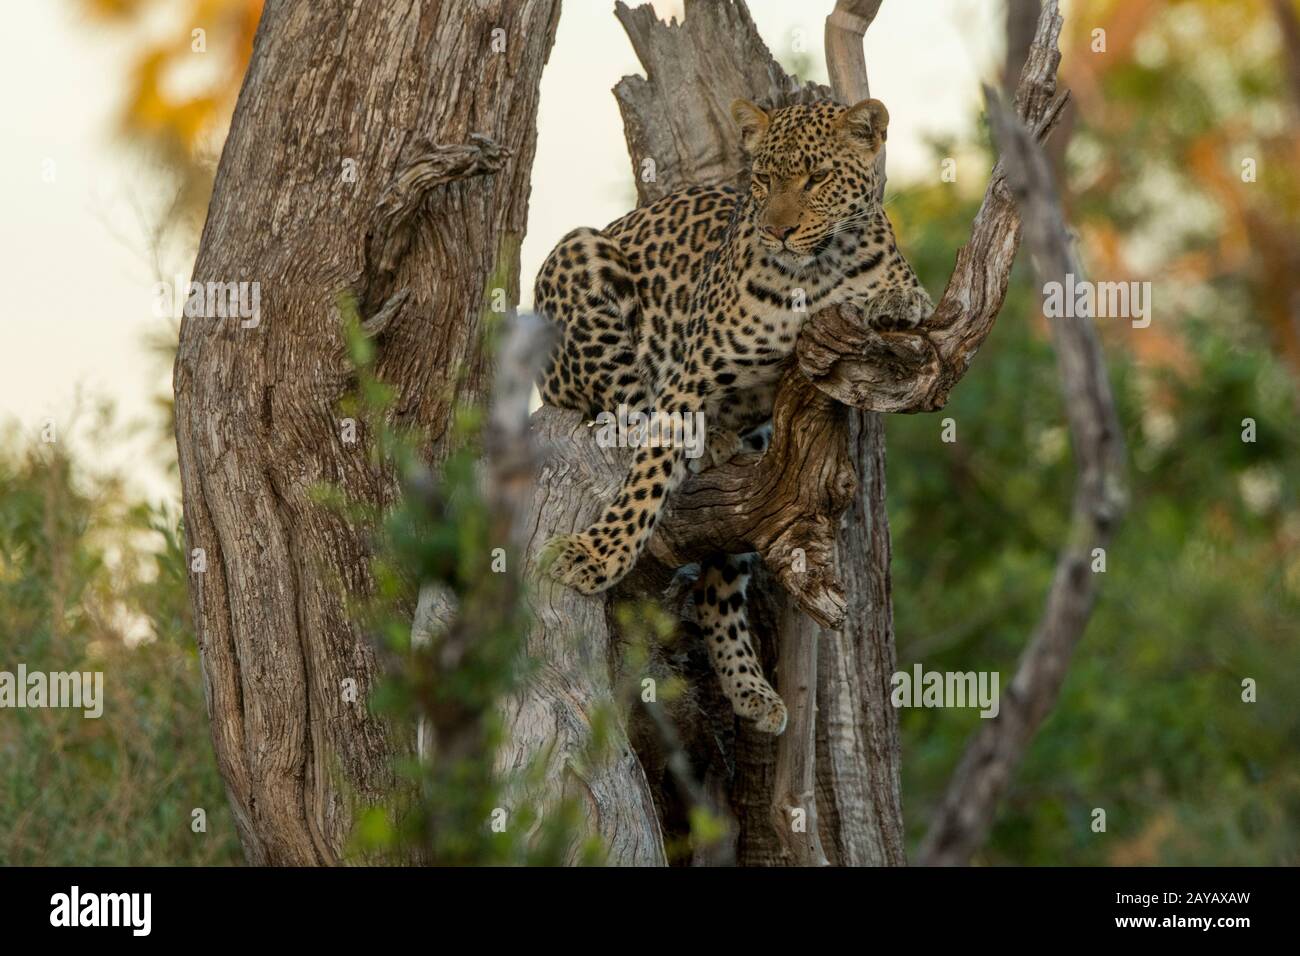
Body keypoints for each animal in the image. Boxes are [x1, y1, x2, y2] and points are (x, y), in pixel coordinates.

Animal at [533, 96, 932, 735]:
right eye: (763, 179)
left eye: (817, 178)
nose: (778, 230)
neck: (816, 274)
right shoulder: (689, 377)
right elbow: (645, 478)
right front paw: (598, 554)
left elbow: (896, 301)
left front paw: (896, 302)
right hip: (581, 254)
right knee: (628, 407)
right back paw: (706, 444)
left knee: (724, 572)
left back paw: (750, 689)